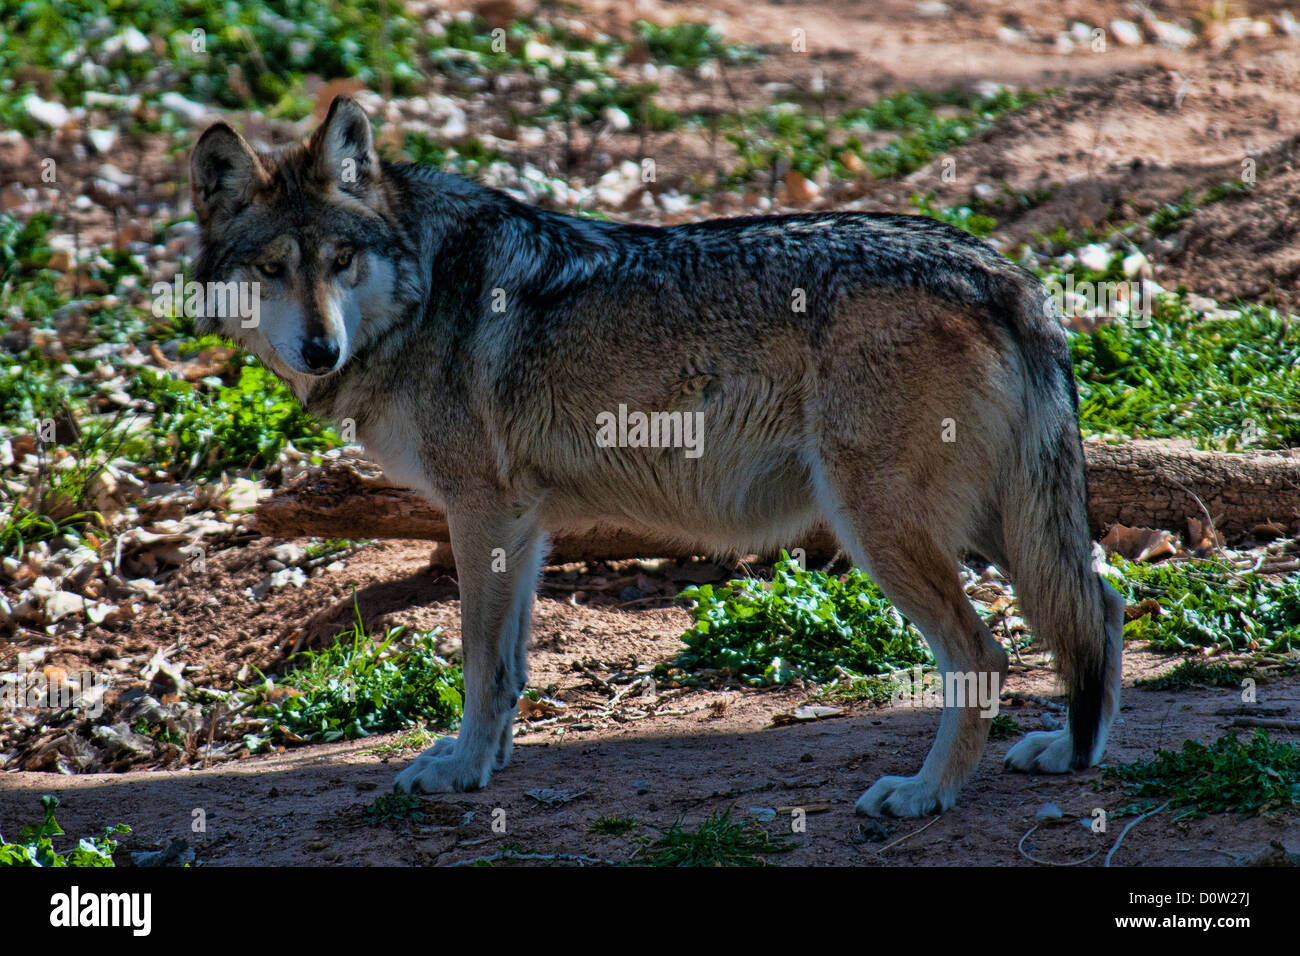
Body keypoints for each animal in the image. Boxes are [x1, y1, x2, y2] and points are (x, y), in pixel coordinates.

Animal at [190, 96, 1125, 817]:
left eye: (341, 261)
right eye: (272, 269)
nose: (319, 349)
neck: (426, 285)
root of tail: (995, 267)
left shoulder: (480, 511)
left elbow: (478, 664)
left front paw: (459, 769)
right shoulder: (523, 524)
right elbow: (511, 668)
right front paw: (489, 763)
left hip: (884, 527)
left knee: (986, 654)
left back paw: (927, 794)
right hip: (992, 524)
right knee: (1101, 607)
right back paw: (1070, 752)